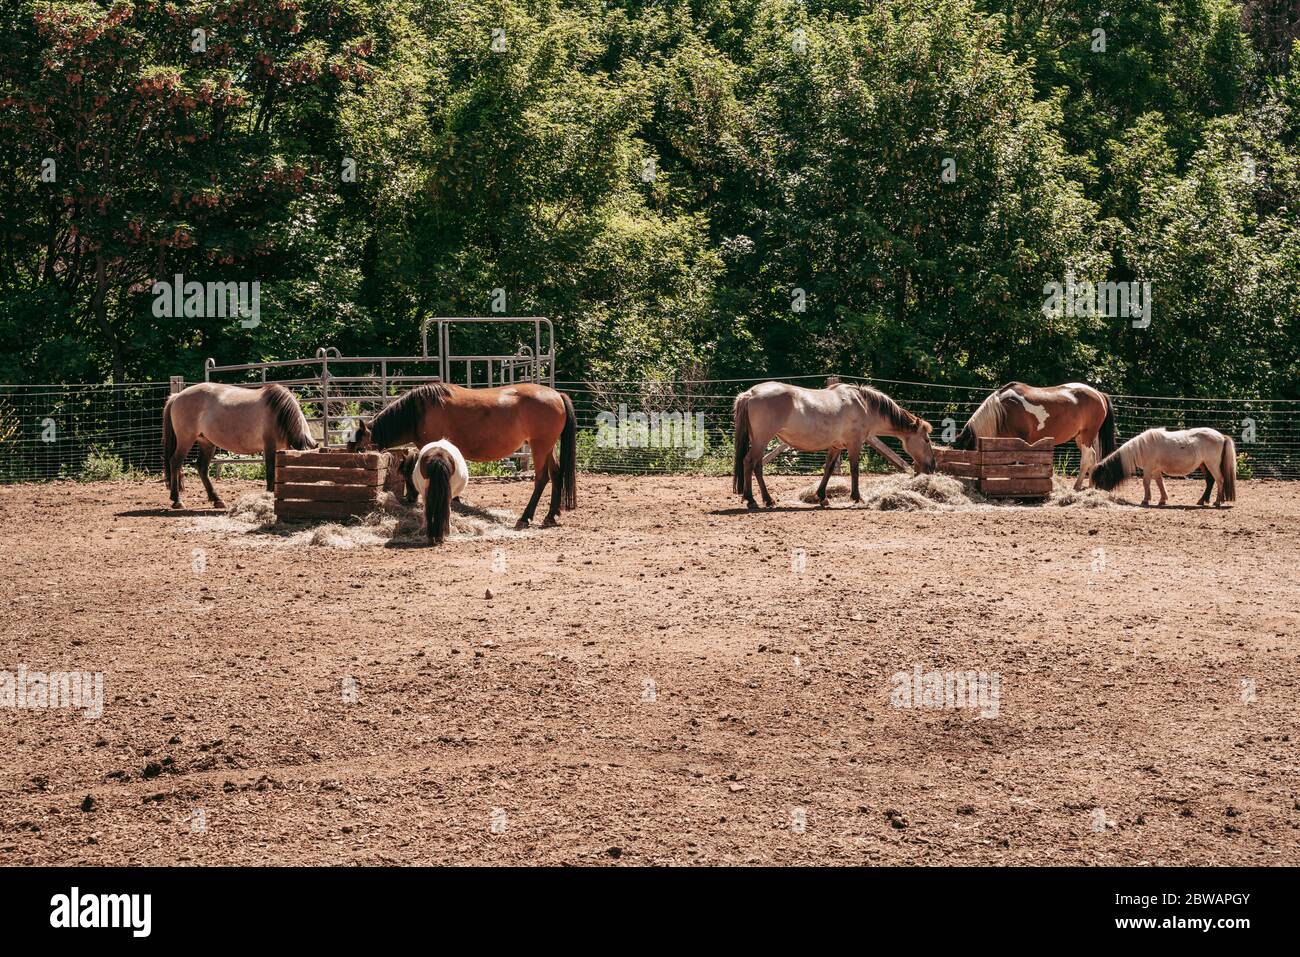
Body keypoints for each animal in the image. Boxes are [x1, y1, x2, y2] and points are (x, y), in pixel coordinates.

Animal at [162, 382, 316, 509]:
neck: (279, 413)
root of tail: (177, 396)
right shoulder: (269, 447)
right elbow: (271, 473)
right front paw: (270, 495)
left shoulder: (283, 449)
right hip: (186, 440)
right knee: (175, 462)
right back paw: (177, 500)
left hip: (206, 442)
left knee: (201, 467)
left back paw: (216, 499)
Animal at [348, 382, 576, 529]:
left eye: (359, 450)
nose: (410, 498)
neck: (418, 412)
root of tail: (557, 395)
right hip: (548, 447)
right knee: (556, 475)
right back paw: (551, 515)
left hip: (540, 446)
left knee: (542, 479)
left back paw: (525, 517)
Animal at [732, 380, 936, 510]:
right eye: (926, 440)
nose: (933, 465)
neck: (863, 405)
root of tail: (751, 393)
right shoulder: (854, 444)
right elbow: (855, 470)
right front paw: (857, 497)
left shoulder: (836, 446)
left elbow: (828, 469)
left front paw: (822, 497)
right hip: (761, 440)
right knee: (751, 463)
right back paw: (757, 500)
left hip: (759, 441)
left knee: (754, 465)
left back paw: (758, 499)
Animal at [954, 382, 1117, 489]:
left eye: (965, 457)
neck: (1003, 409)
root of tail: (1099, 394)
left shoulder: (1021, 440)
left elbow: (1018, 463)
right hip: (1081, 437)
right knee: (1093, 457)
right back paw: (1090, 486)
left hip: (1087, 436)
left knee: (1086, 459)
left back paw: (1077, 486)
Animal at [1085, 427, 1237, 507]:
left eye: (1101, 479)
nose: (1098, 493)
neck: (1142, 448)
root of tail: (1221, 436)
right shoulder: (1156, 470)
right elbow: (1160, 483)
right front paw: (1162, 500)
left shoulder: (1148, 468)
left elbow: (1146, 483)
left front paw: (1145, 500)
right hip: (1204, 464)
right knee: (1210, 482)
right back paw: (1201, 501)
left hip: (1211, 464)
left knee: (1220, 480)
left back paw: (1217, 502)